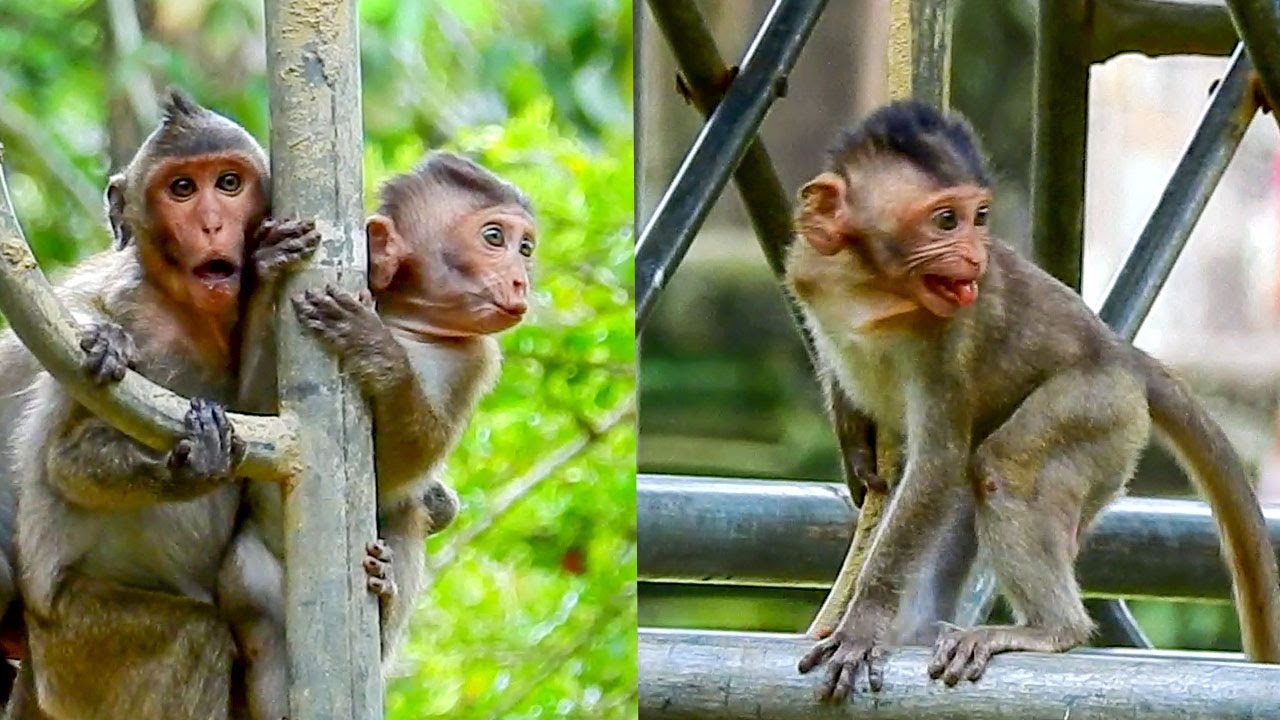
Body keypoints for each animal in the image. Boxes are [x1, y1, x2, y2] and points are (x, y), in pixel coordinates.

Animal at [3, 90, 317, 720]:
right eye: (182, 190)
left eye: (228, 182)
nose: (212, 223)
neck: (188, 314)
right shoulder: (116, 304)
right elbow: (66, 462)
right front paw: (192, 465)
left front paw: (269, 272)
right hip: (80, 647)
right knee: (194, 638)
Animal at [219, 150, 534, 718]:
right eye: (494, 238)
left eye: (526, 248)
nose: (522, 281)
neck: (407, 318)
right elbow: (254, 408)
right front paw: (269, 263)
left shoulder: (476, 358)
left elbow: (404, 464)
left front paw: (377, 350)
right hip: (249, 577)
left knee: (409, 513)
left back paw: (384, 601)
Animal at [785, 101, 1280, 702]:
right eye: (946, 221)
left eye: (979, 217)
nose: (976, 256)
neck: (869, 285)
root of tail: (1123, 354)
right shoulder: (806, 269)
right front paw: (854, 442)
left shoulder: (948, 337)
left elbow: (937, 463)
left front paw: (861, 627)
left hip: (1099, 408)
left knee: (1003, 468)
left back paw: (1049, 629)